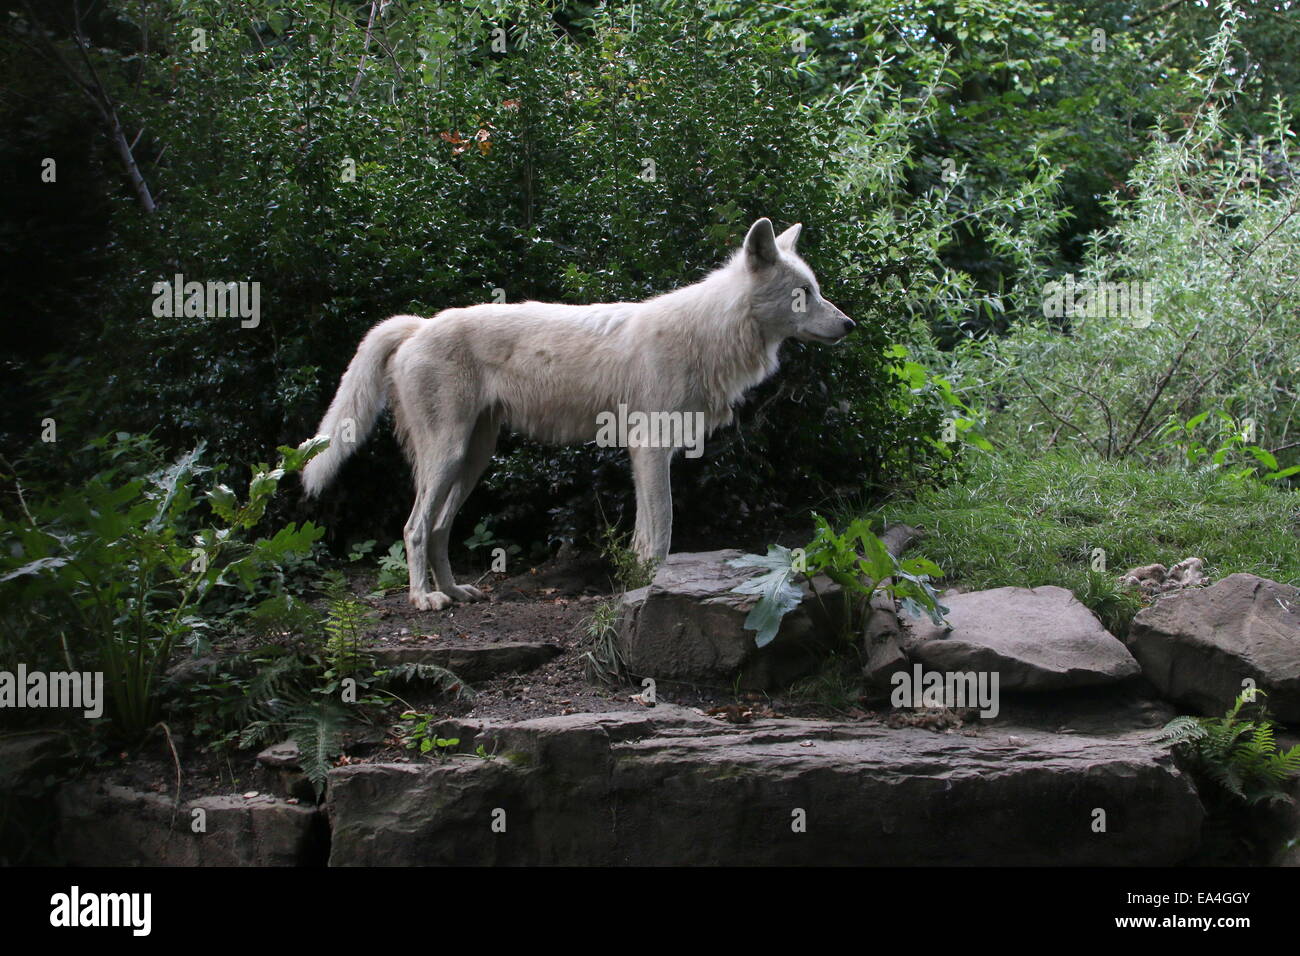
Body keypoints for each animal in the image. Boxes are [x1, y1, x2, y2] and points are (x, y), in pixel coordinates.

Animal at [302, 218, 855, 610]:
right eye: (803, 295)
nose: (849, 324)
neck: (710, 334)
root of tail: (417, 325)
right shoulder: (650, 447)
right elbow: (663, 527)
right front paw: (649, 585)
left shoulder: (646, 453)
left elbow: (643, 533)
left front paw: (636, 581)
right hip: (449, 456)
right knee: (414, 528)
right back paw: (424, 599)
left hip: (472, 459)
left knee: (437, 529)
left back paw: (457, 593)